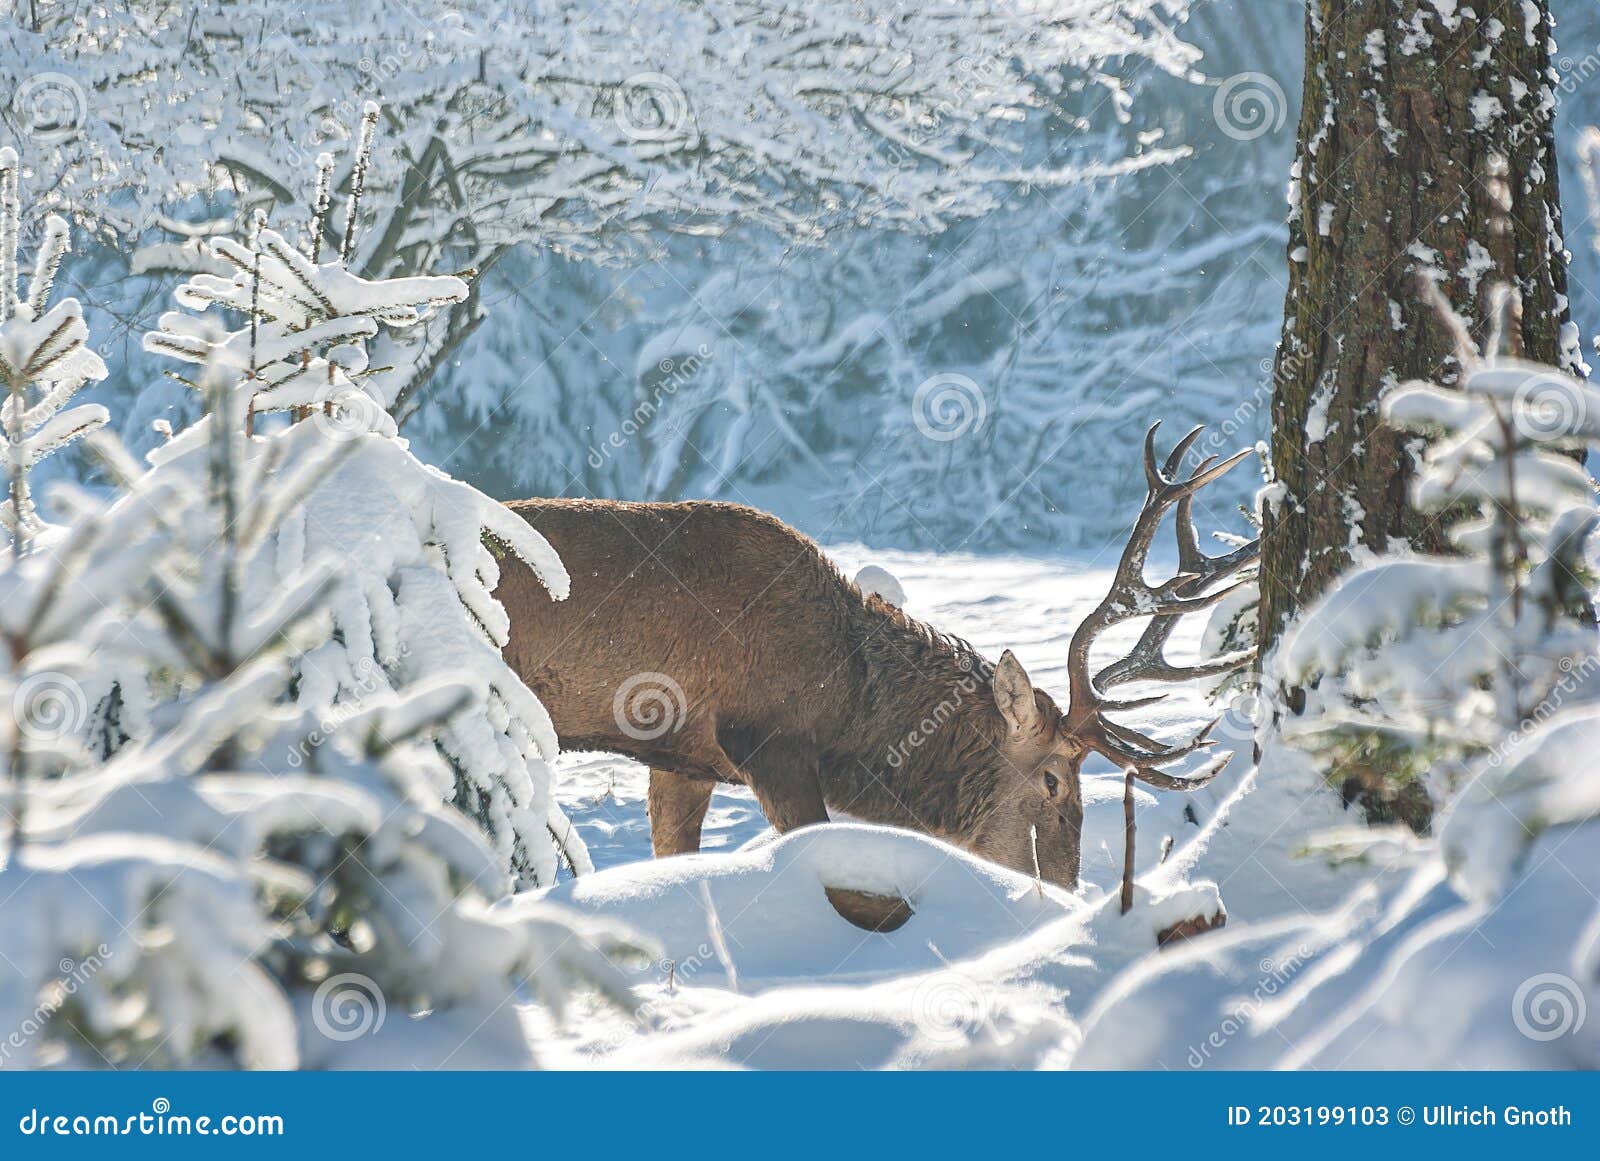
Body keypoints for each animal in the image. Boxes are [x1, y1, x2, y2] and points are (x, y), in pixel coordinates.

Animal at [499, 424, 1257, 926]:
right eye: (1053, 781)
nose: (1064, 892)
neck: (848, 704)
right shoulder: (768, 742)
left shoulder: (684, 758)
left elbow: (672, 855)